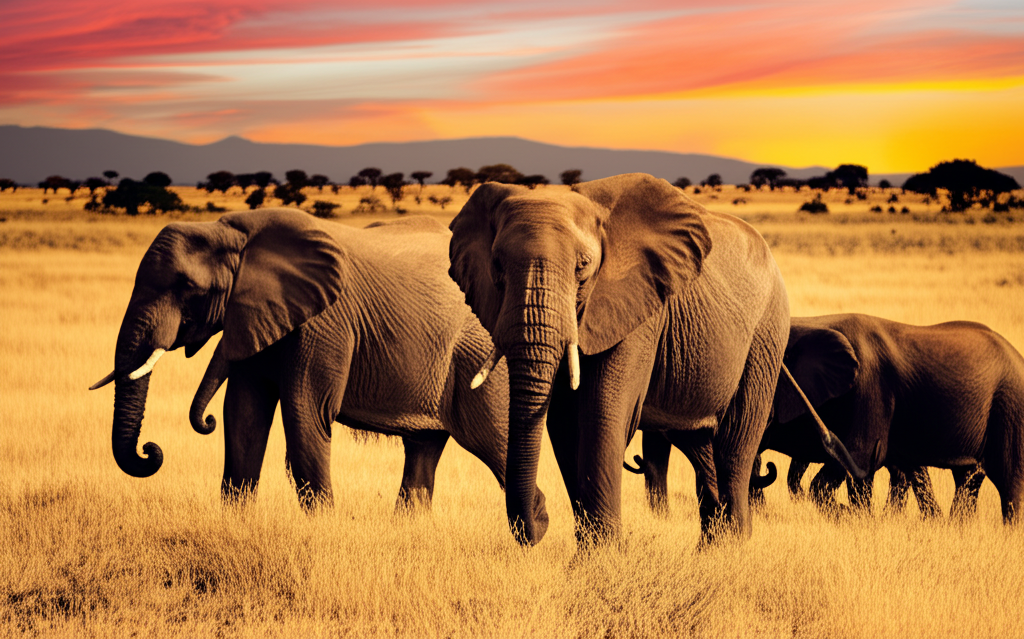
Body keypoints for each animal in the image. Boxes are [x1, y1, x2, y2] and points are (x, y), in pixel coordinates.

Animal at [90, 209, 547, 522]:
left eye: (187, 288)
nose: (151, 450)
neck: (232, 230)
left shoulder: (325, 321)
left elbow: (304, 413)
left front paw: (322, 527)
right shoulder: (258, 315)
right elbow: (243, 416)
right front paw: (235, 521)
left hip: (478, 358)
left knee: (495, 439)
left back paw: (535, 527)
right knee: (424, 448)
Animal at [447, 173, 864, 547]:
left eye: (583, 266)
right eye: (497, 267)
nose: (539, 519)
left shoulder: (639, 312)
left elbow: (602, 414)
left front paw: (599, 561)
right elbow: (564, 424)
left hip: (765, 334)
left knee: (735, 443)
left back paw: (734, 548)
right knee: (701, 448)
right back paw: (712, 552)